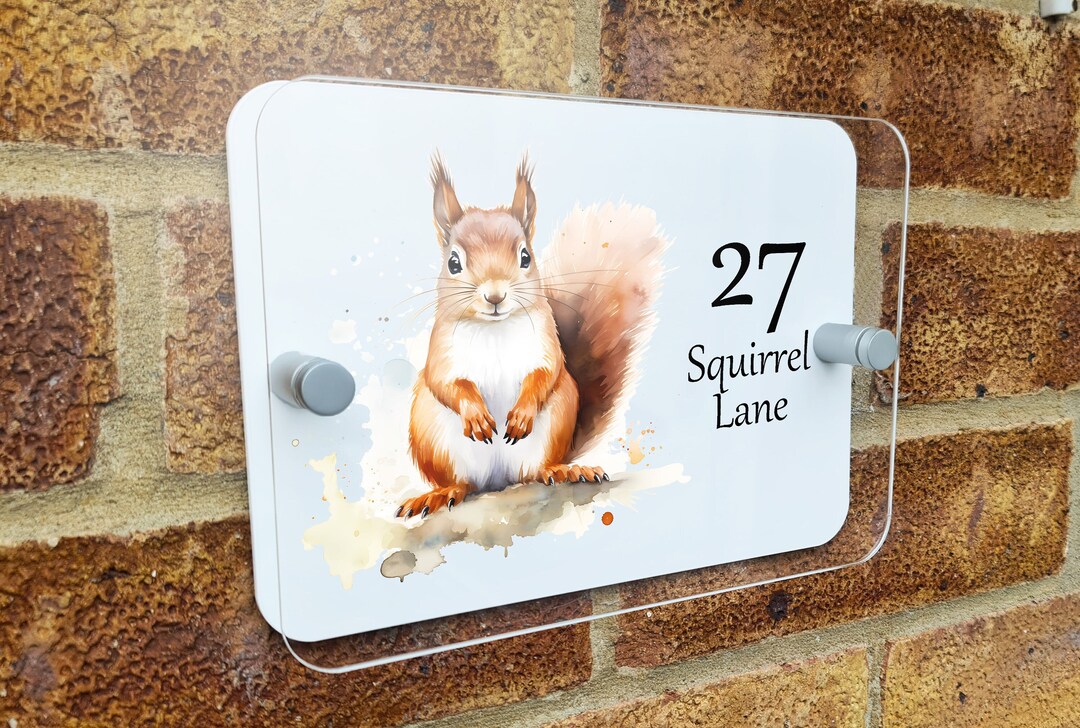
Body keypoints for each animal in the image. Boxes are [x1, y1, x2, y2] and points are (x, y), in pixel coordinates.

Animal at [398, 153, 668, 519]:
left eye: (525, 257)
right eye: (453, 263)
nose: (495, 295)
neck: (495, 327)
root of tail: (498, 480)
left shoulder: (546, 341)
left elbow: (547, 371)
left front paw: (523, 412)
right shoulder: (441, 350)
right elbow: (444, 382)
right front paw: (476, 414)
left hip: (554, 421)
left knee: (535, 471)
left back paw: (565, 470)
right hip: (434, 436)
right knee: (463, 482)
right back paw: (442, 492)